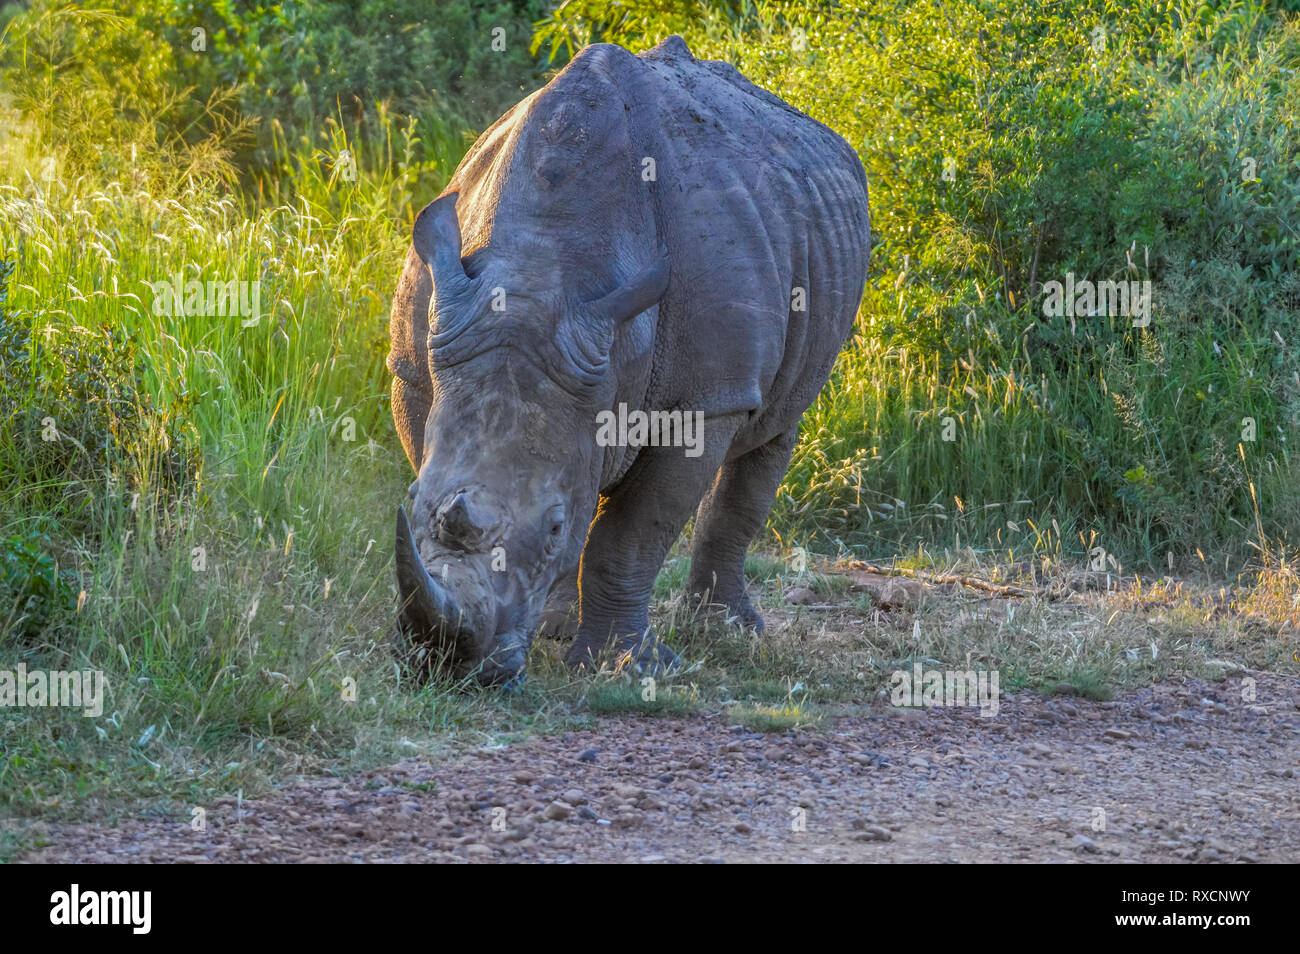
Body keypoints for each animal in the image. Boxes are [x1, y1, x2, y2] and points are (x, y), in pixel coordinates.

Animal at [389, 35, 870, 685]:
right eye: (411, 500)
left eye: (554, 526)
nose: (446, 662)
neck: (543, 263)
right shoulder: (419, 368)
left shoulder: (704, 403)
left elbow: (632, 535)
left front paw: (626, 665)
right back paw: (558, 626)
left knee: (773, 429)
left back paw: (728, 632)